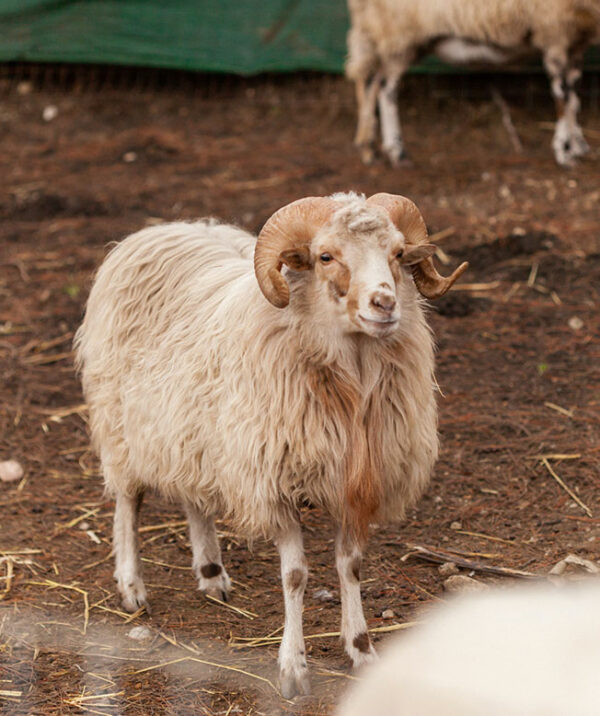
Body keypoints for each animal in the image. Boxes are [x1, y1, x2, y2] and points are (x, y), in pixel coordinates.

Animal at [74, 192, 467, 698]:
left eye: (398, 253)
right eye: (325, 257)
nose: (384, 304)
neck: (351, 380)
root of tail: (162, 228)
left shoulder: (352, 483)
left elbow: (351, 565)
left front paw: (360, 648)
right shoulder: (275, 482)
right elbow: (295, 575)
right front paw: (293, 667)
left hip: (192, 430)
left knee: (193, 497)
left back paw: (211, 573)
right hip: (121, 421)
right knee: (128, 500)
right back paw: (131, 586)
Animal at [346, 0, 600, 166]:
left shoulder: (576, 40)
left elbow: (574, 97)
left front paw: (579, 145)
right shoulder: (554, 32)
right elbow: (562, 96)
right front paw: (564, 151)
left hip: (394, 36)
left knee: (372, 82)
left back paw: (369, 147)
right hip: (397, 32)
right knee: (383, 87)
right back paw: (396, 151)